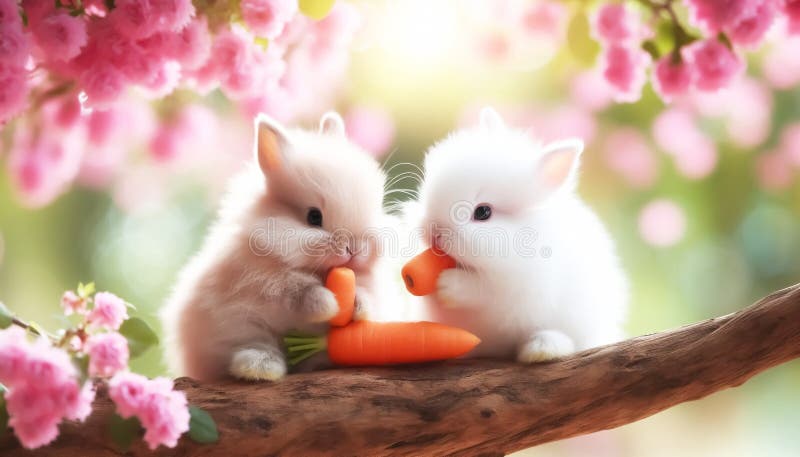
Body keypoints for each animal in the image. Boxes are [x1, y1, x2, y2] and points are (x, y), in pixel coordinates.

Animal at [161, 111, 389, 381]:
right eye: (314, 217)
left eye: (374, 211)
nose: (354, 249)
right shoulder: (262, 281)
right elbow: (300, 291)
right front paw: (330, 304)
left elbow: (366, 297)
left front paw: (357, 307)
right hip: (237, 326)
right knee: (254, 344)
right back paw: (258, 367)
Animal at [406, 107, 628, 363]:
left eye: (483, 212)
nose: (434, 232)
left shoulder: (516, 288)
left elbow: (482, 291)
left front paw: (446, 284)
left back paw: (542, 349)